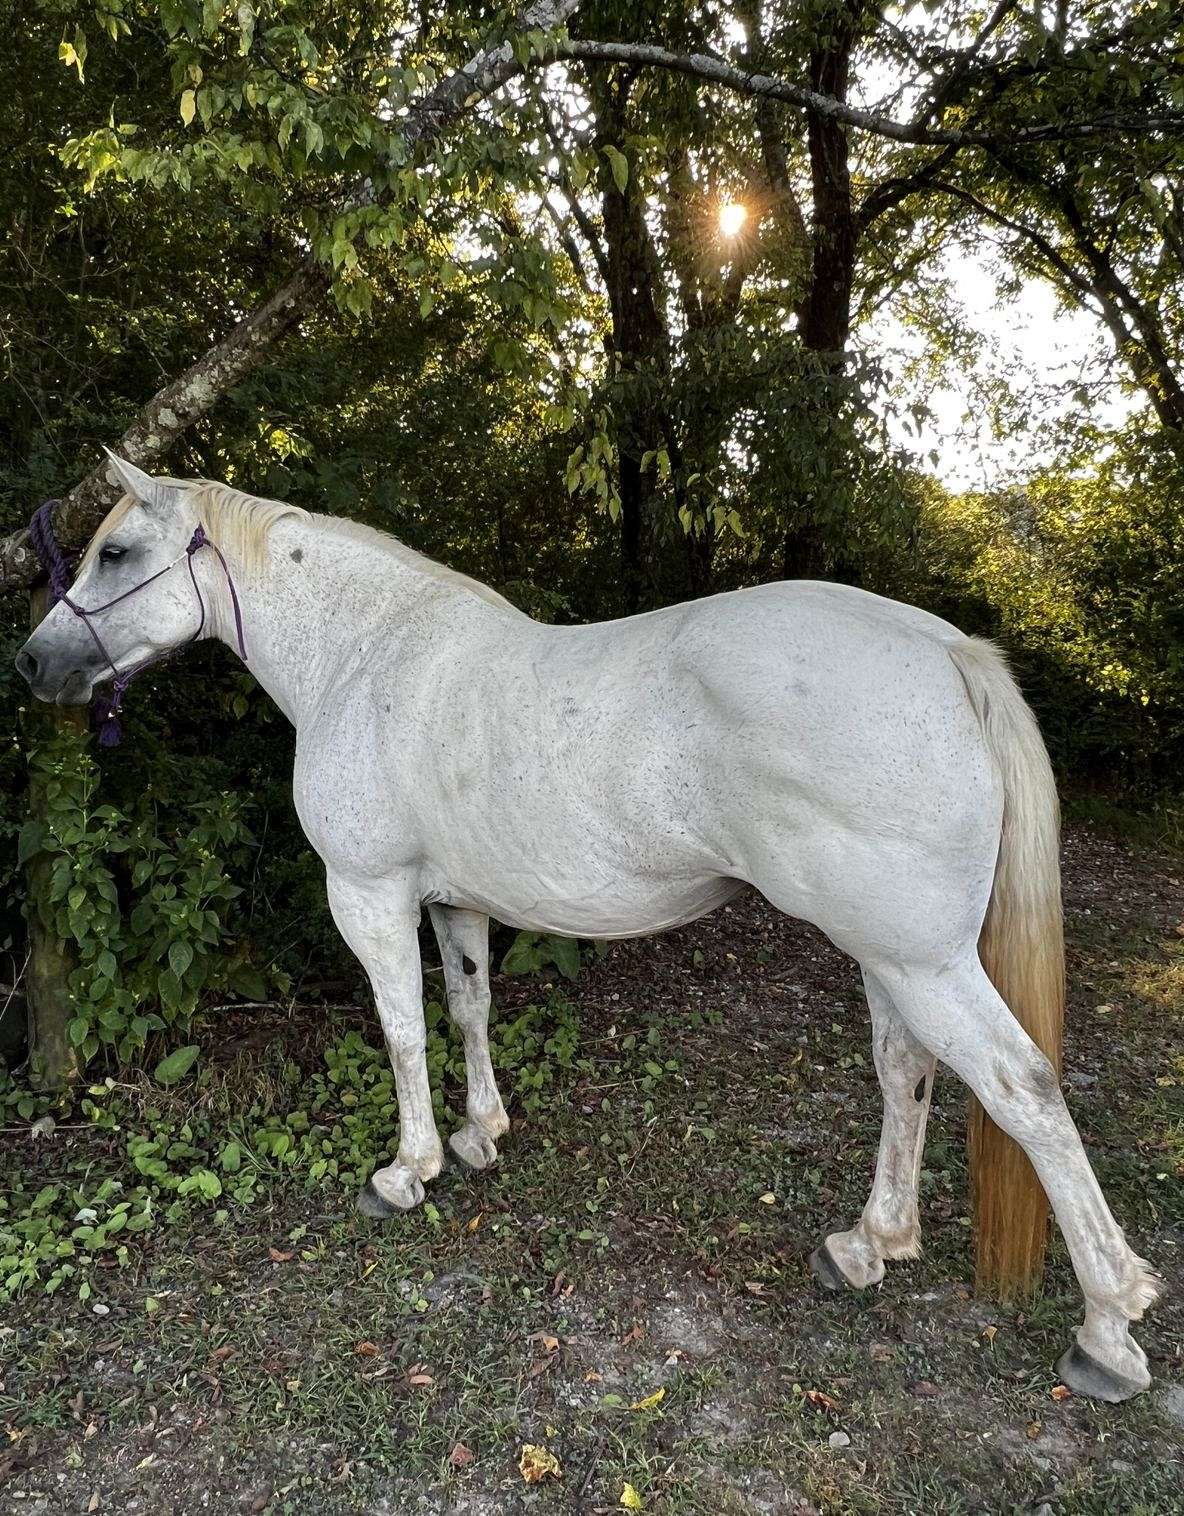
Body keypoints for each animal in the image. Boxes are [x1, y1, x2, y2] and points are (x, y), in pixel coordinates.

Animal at [16, 453, 1159, 1403]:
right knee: (905, 1072)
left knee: (1022, 1089)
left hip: (921, 961)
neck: (364, 655)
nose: (33, 665)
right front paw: (480, 1133)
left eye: (115, 551)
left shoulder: (369, 894)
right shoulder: (453, 902)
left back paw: (1107, 1329)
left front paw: (407, 1171)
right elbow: (469, 1009)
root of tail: (945, 649)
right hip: (891, 957)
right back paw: (870, 1243)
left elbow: (402, 1033)